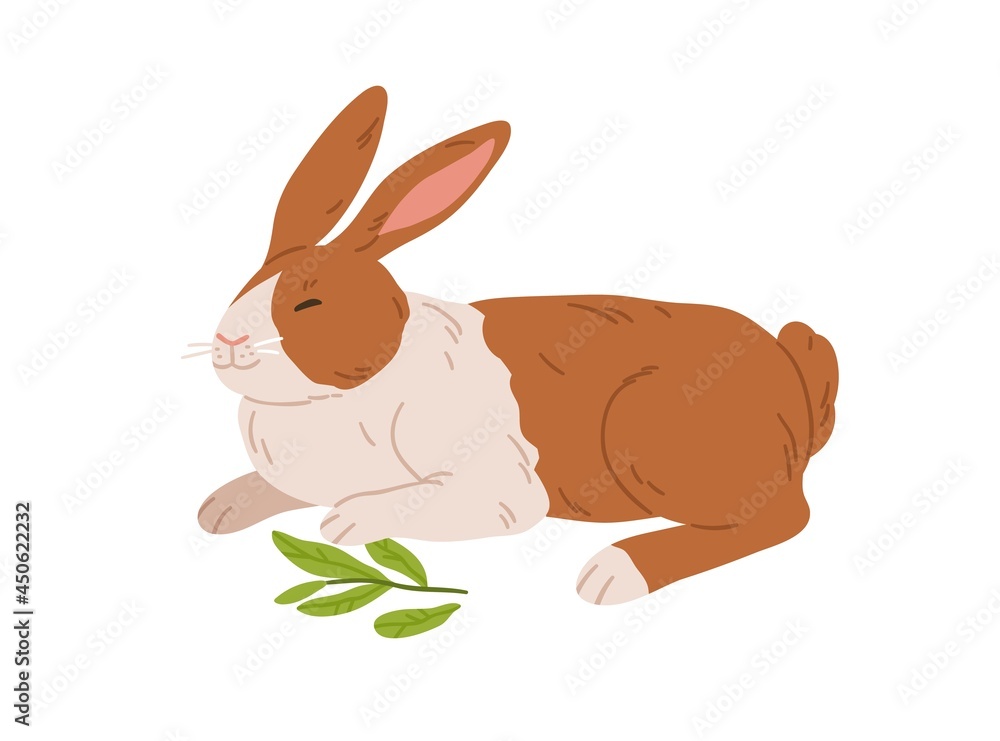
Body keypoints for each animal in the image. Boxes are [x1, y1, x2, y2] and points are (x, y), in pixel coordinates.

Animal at [194, 86, 838, 605]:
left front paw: (348, 522)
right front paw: (219, 509)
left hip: (652, 430)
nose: (228, 342)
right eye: (248, 283)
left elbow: (411, 502)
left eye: (311, 304)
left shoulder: (500, 491)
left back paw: (613, 572)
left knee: (779, 521)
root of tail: (794, 386)